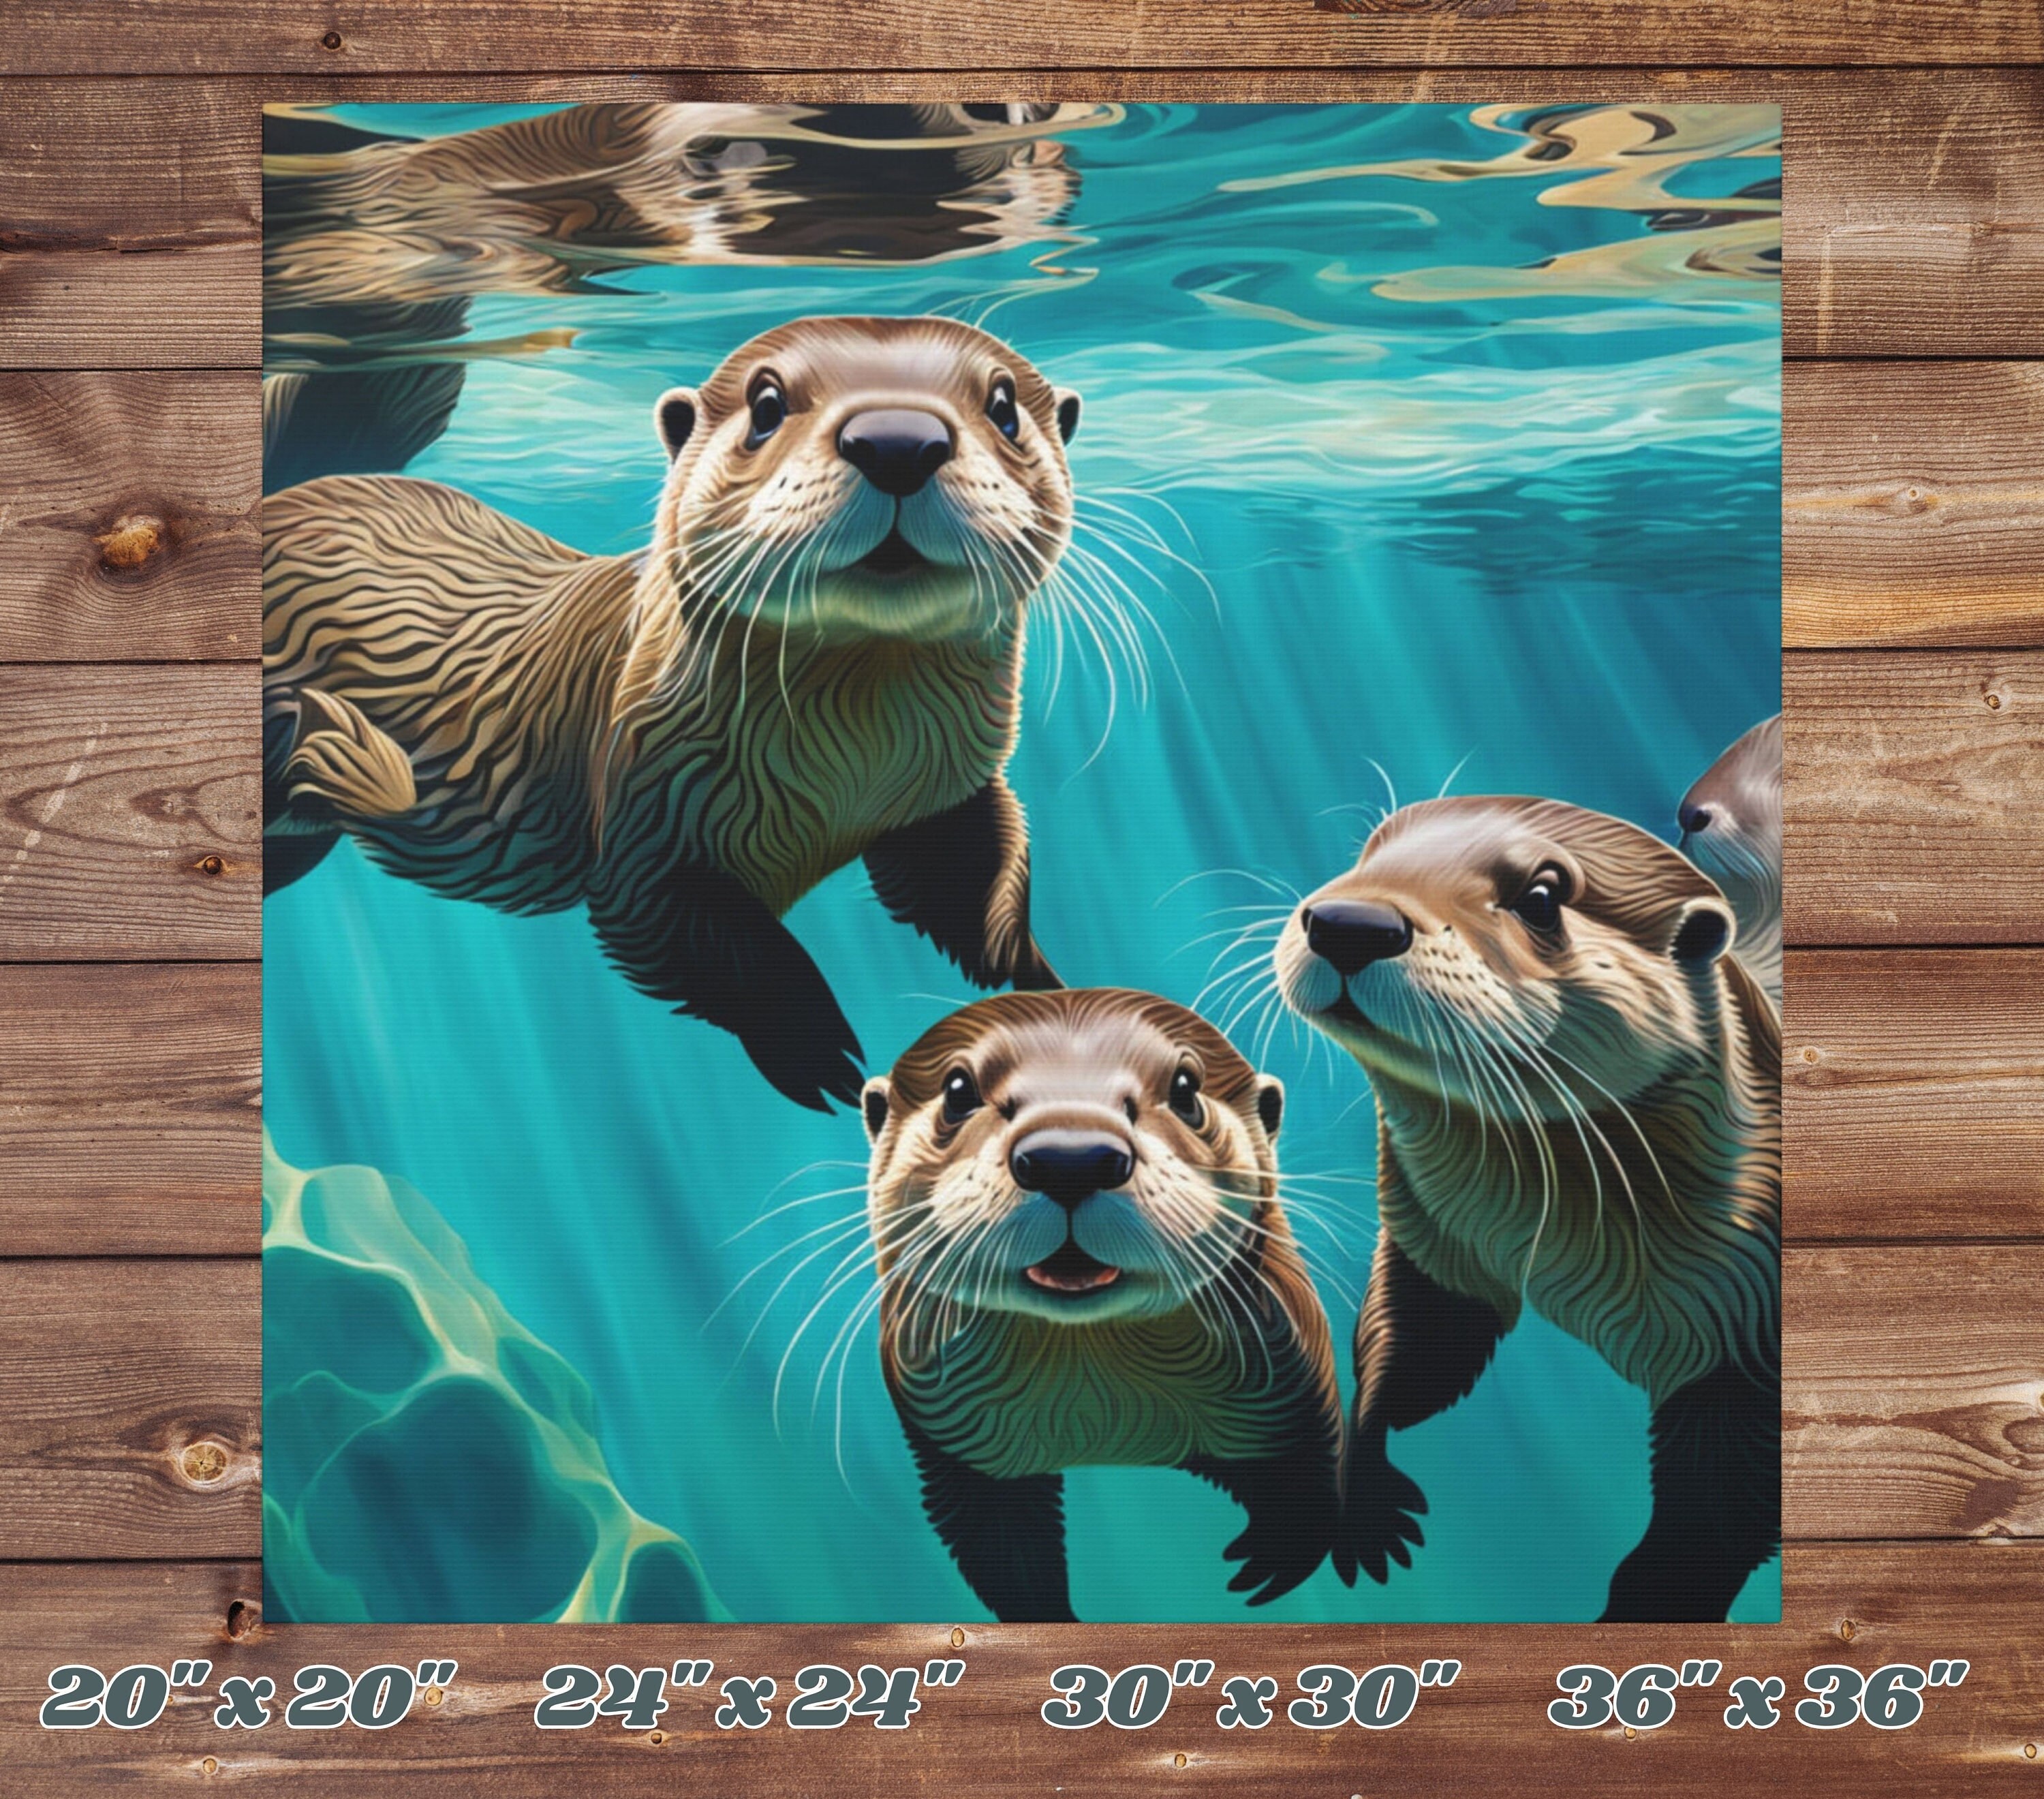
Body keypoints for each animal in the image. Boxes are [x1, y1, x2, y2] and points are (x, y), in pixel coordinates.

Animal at [265, 315, 1079, 1110]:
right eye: (766, 404)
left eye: (1003, 406)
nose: (898, 440)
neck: (852, 767)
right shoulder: (640, 813)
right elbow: (699, 934)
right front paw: (819, 1047)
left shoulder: (942, 790)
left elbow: (980, 866)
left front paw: (1036, 982)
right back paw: (350, 754)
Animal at [860, 989, 1343, 1621]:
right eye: (958, 1090)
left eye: (1186, 1088)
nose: (1071, 1158)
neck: (1108, 1420)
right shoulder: (957, 1443)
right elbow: (1001, 1552)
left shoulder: (1287, 1383)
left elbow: (1311, 1467)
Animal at [1273, 796, 1779, 1622]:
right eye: (1368, 853)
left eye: (1541, 898)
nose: (1351, 921)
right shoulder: (1438, 1241)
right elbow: (1410, 1347)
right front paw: (1365, 1501)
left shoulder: (1745, 1315)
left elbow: (1715, 1515)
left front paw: (1641, 1611)